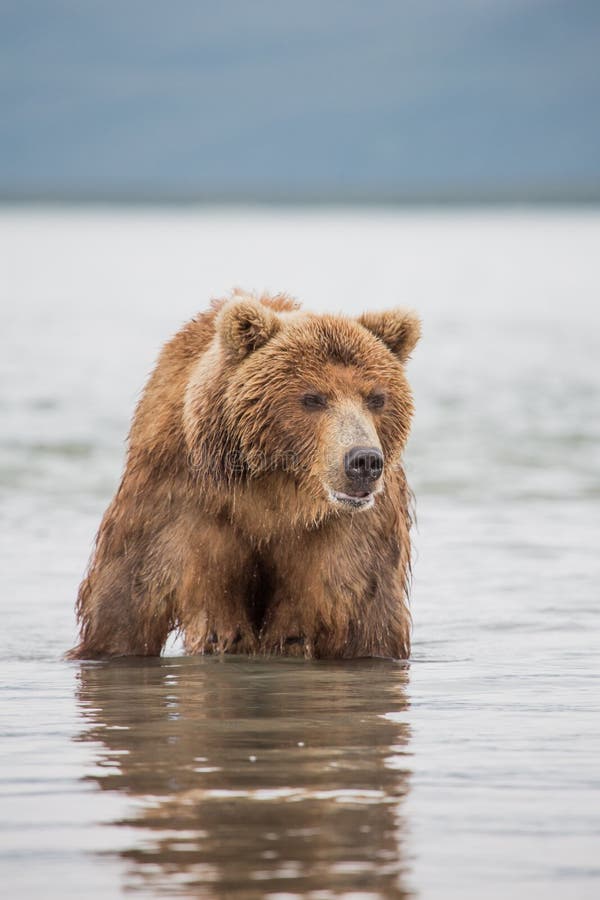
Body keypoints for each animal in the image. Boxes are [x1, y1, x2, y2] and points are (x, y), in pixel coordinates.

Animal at [67, 290, 420, 661]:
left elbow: (366, 622)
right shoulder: (173, 502)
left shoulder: (352, 536)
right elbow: (127, 605)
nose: (363, 461)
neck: (275, 496)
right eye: (312, 398)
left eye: (376, 398)